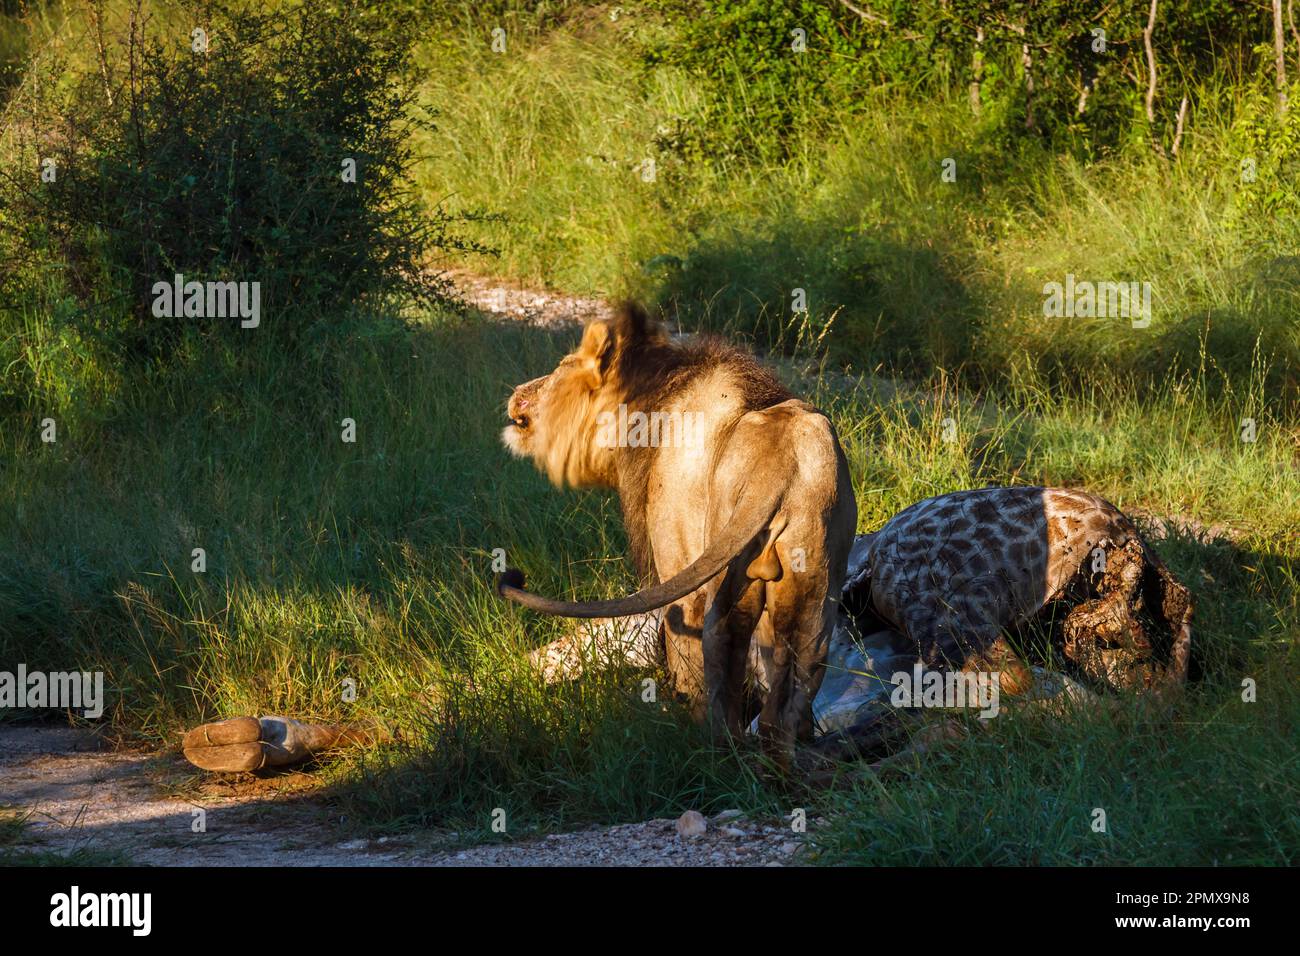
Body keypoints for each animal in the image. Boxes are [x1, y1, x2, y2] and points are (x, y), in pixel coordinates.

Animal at [497, 303, 857, 762]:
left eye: (561, 368)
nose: (519, 391)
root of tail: (781, 466)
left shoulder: (675, 559)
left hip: (719, 579)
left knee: (718, 660)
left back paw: (713, 748)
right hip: (816, 587)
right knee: (787, 698)